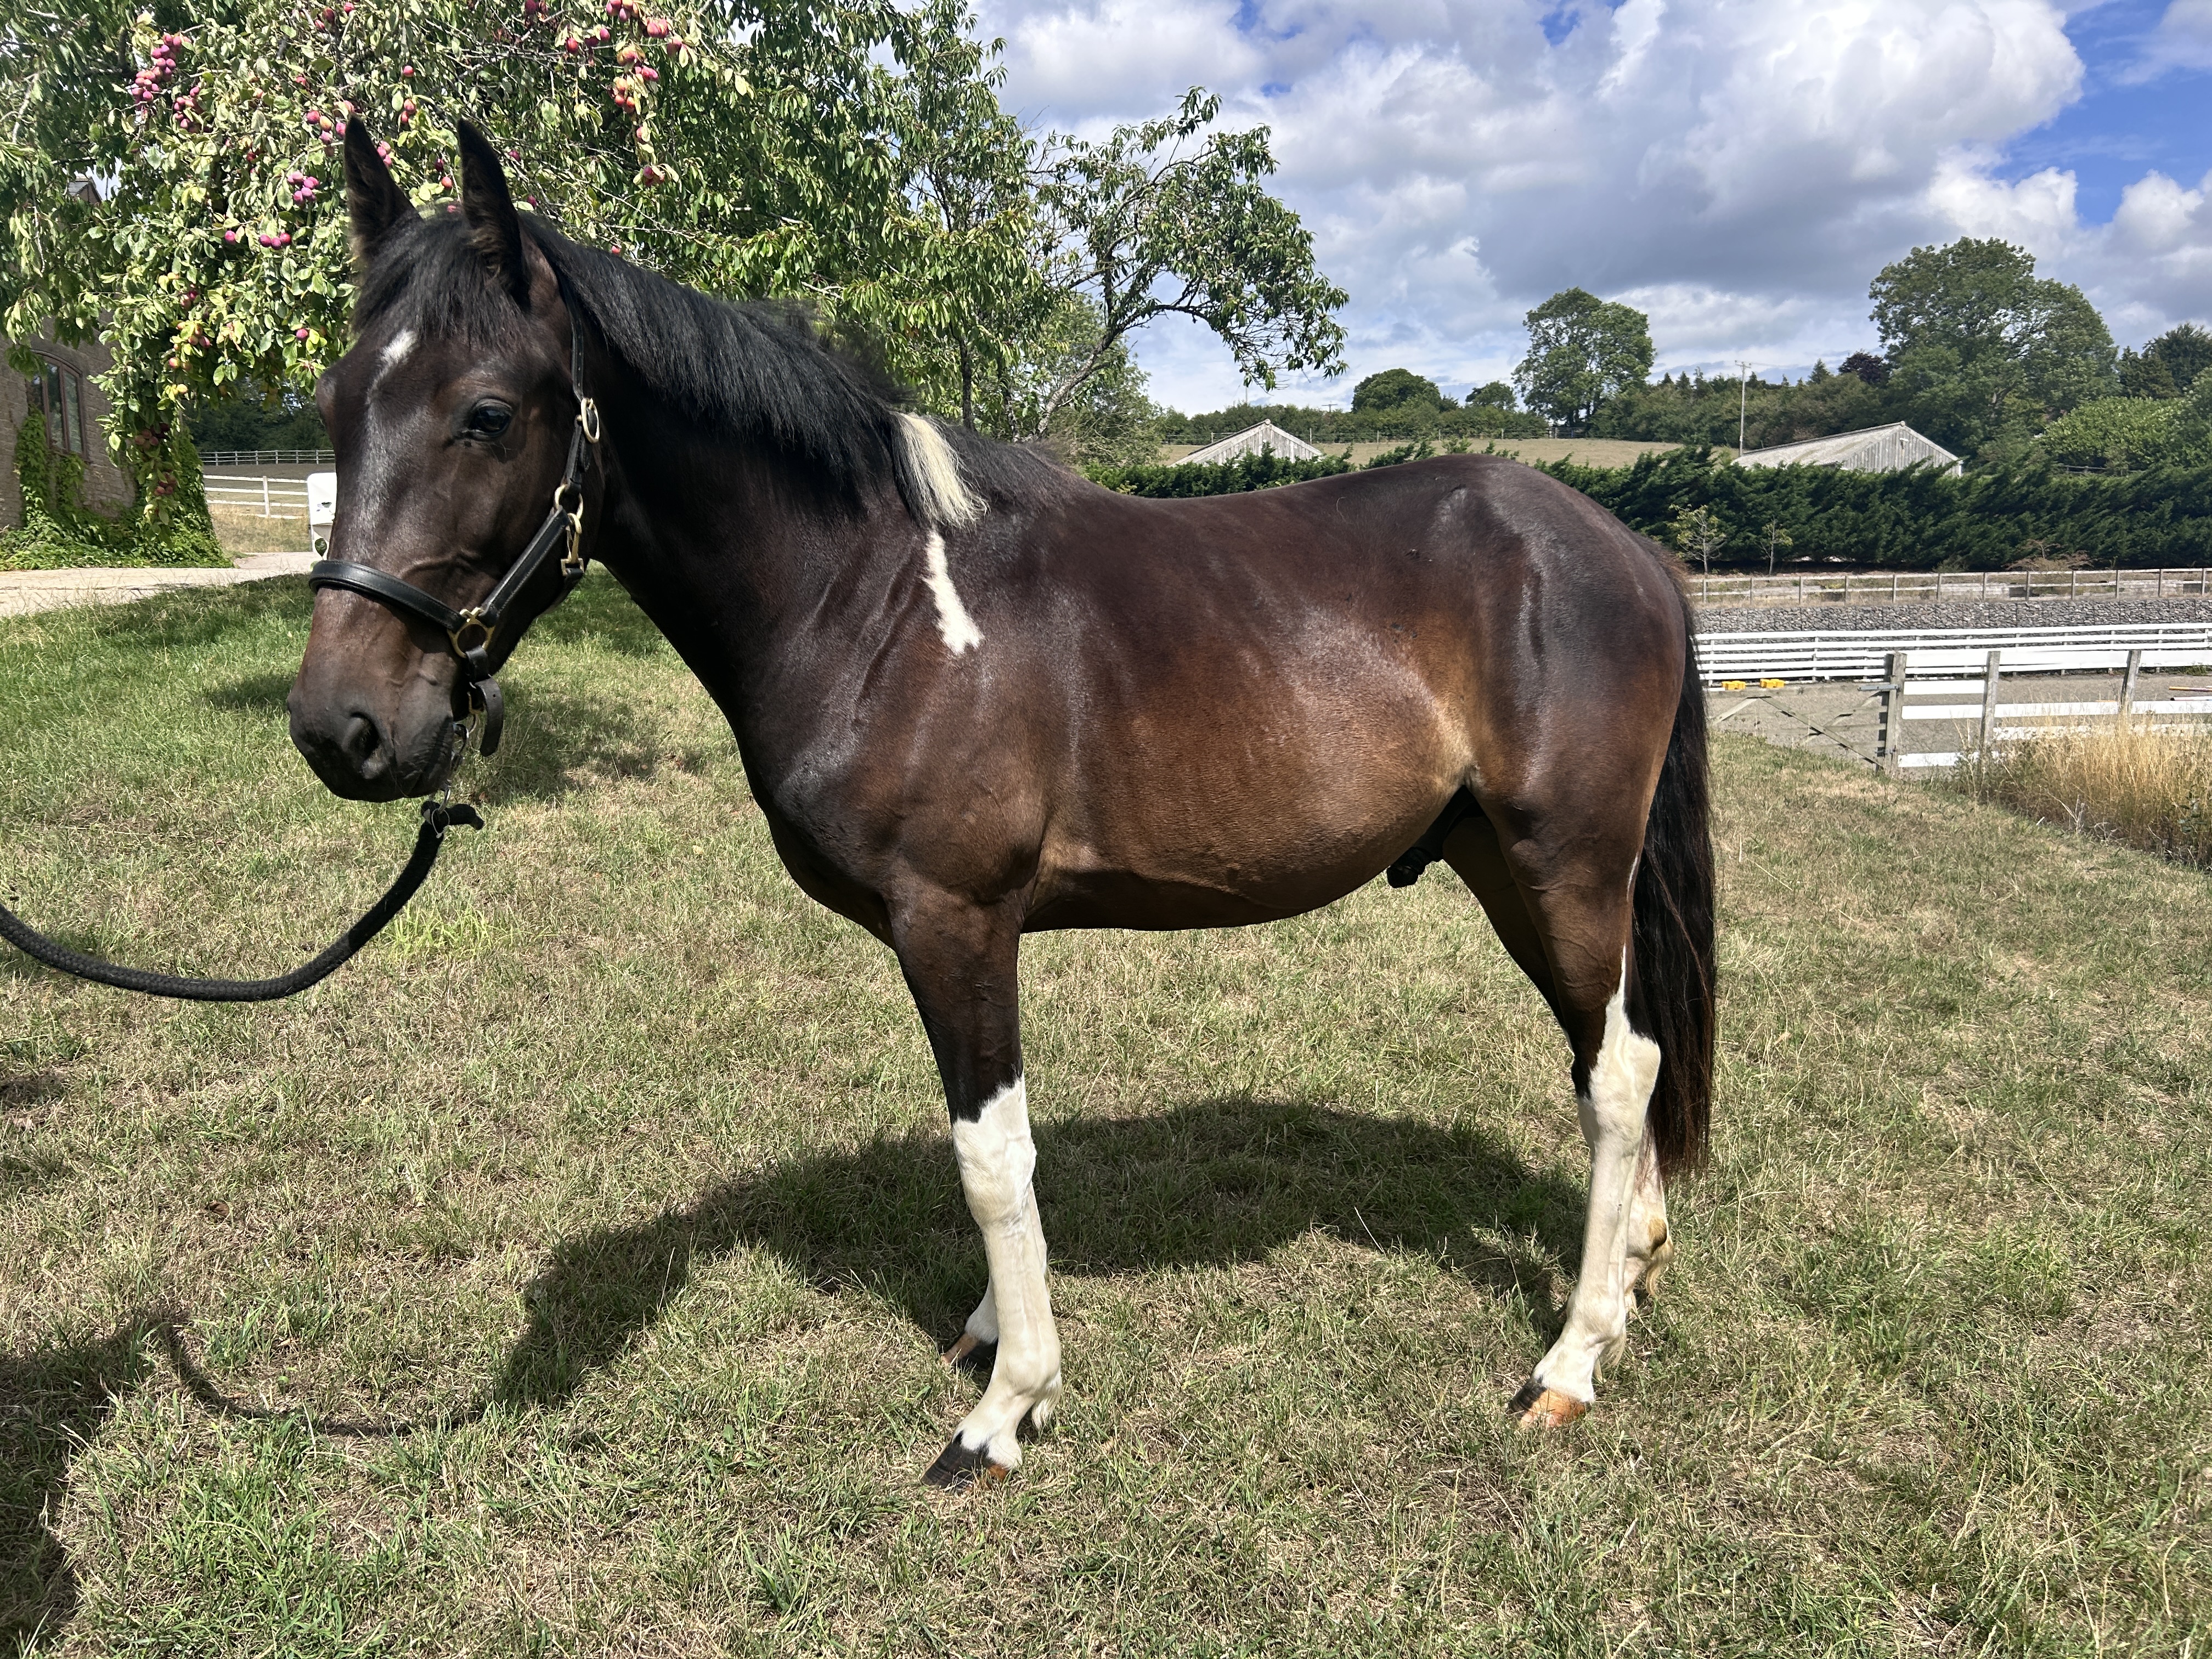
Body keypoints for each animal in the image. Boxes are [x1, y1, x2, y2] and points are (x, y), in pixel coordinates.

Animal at [289, 120, 1716, 1486]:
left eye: (485, 412)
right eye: (334, 403)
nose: (341, 729)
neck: (874, 600)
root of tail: (1630, 552)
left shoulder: (957, 919)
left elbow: (991, 1157)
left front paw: (1005, 1409)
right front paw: (988, 1336)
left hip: (1565, 865)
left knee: (1618, 1072)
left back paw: (1569, 1362)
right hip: (1505, 869)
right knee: (1621, 1055)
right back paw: (1632, 1279)